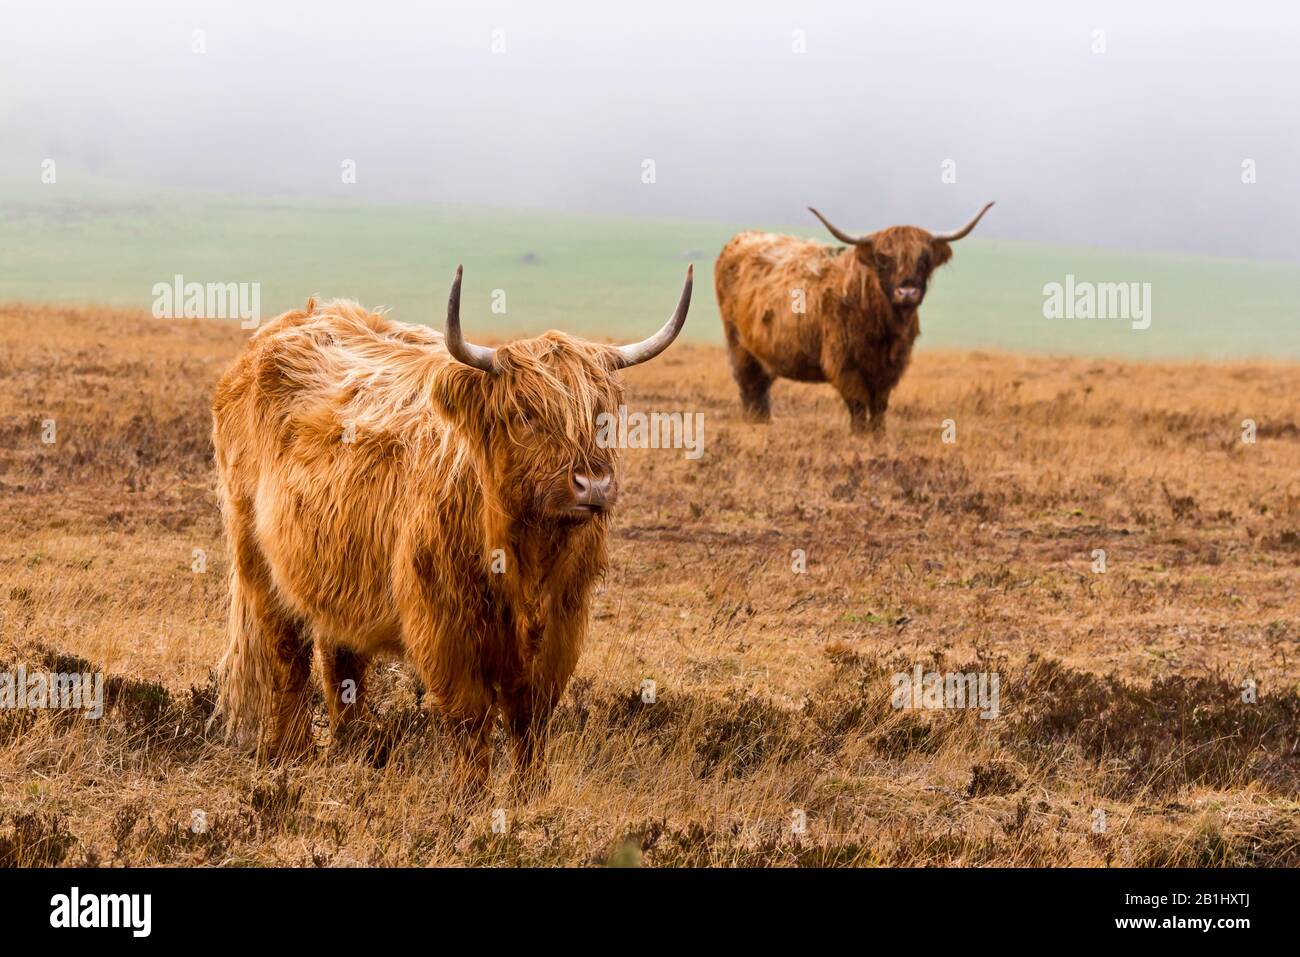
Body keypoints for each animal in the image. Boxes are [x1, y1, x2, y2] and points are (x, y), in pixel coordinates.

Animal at [211, 265, 692, 790]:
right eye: (525, 414)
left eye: (603, 417)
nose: (594, 484)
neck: (526, 558)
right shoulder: (445, 624)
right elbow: (470, 716)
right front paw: (471, 797)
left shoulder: (563, 623)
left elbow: (532, 715)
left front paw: (530, 793)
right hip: (257, 561)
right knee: (287, 656)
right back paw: (289, 754)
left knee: (342, 660)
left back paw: (354, 751)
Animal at [714, 203, 993, 434]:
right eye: (882, 259)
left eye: (923, 259)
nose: (907, 292)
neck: (884, 325)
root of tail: (743, 237)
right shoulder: (843, 361)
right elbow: (858, 403)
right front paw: (860, 435)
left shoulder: (891, 366)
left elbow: (880, 403)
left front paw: (878, 434)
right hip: (738, 343)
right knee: (748, 383)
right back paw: (754, 421)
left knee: (762, 384)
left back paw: (765, 420)